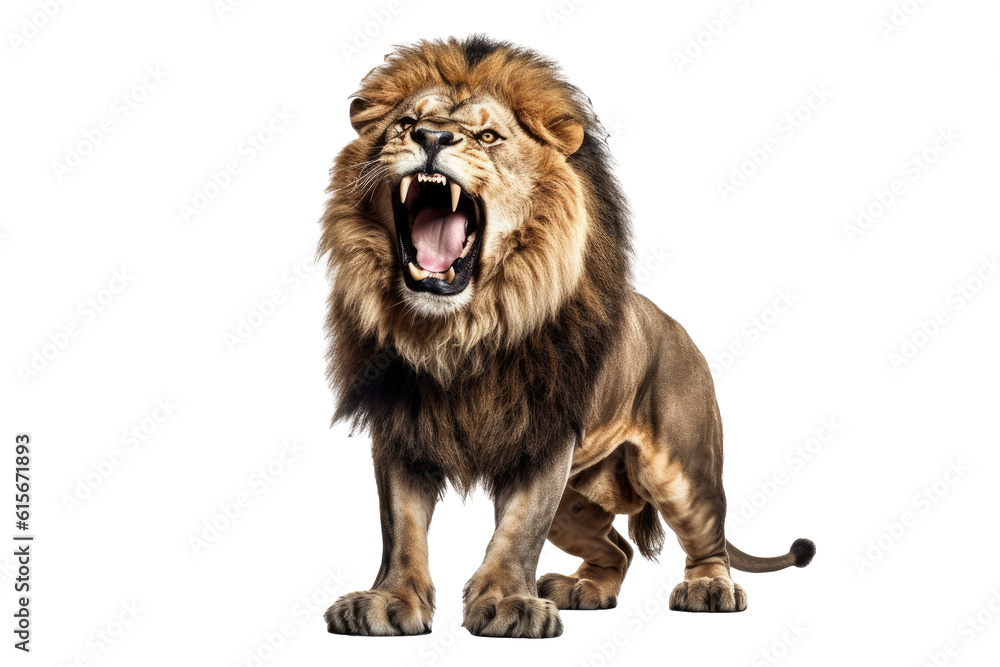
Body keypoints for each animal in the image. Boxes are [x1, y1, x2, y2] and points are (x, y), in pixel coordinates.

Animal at [319, 35, 815, 638]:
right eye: (406, 123)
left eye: (488, 136)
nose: (432, 137)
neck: (459, 331)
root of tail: (676, 328)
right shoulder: (401, 426)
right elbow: (401, 528)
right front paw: (388, 602)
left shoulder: (546, 435)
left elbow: (518, 528)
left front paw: (508, 603)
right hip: (577, 504)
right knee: (620, 548)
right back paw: (581, 588)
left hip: (683, 474)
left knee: (709, 538)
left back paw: (708, 589)